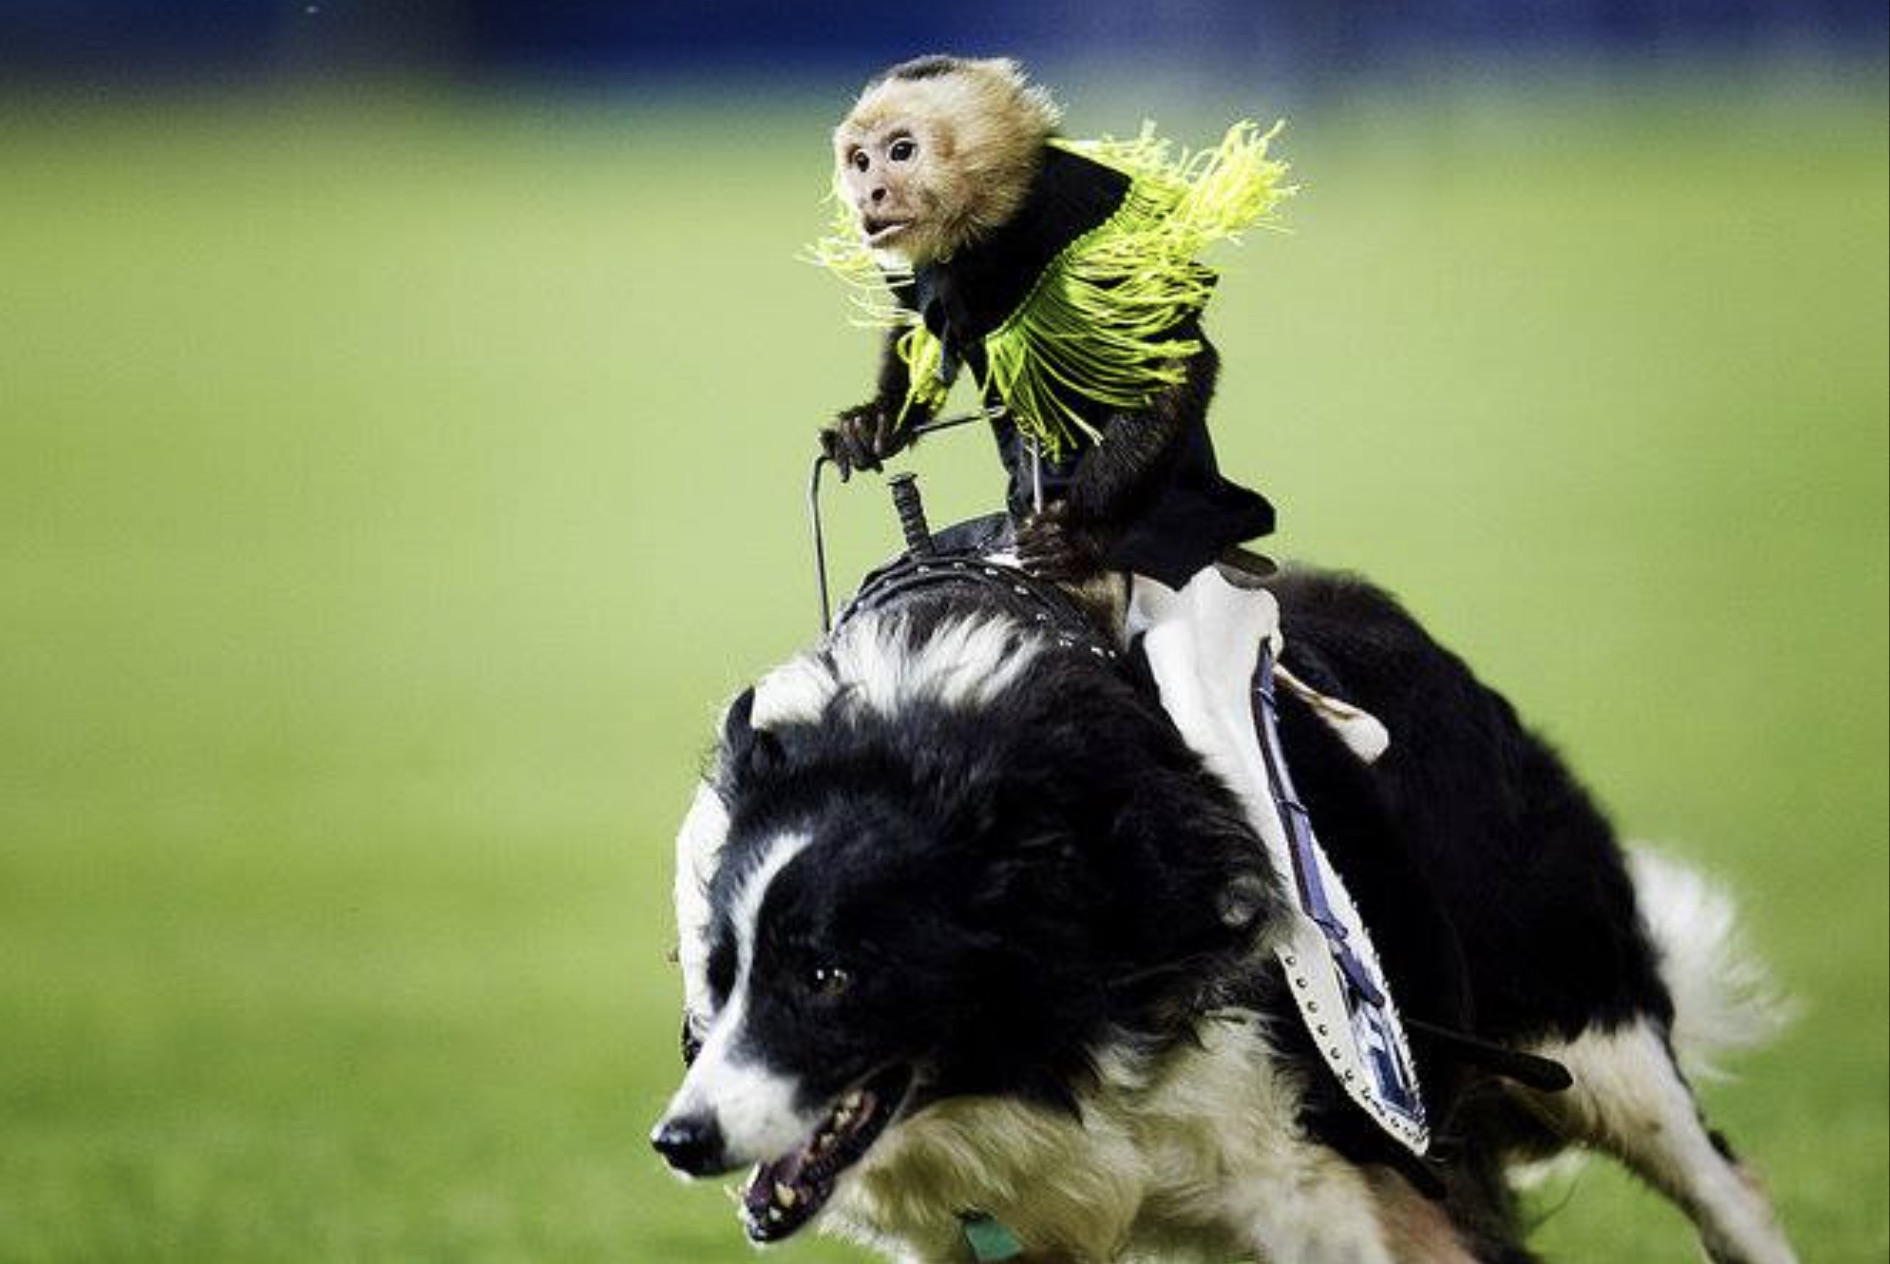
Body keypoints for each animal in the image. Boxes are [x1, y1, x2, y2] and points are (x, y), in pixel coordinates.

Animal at [813, 54, 1289, 587]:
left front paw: (1081, 535)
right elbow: (917, 332)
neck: (993, 227)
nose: (869, 194)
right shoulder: (925, 272)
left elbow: (1170, 363)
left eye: (900, 151)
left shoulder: (1085, 222)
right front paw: (875, 420)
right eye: (860, 161)